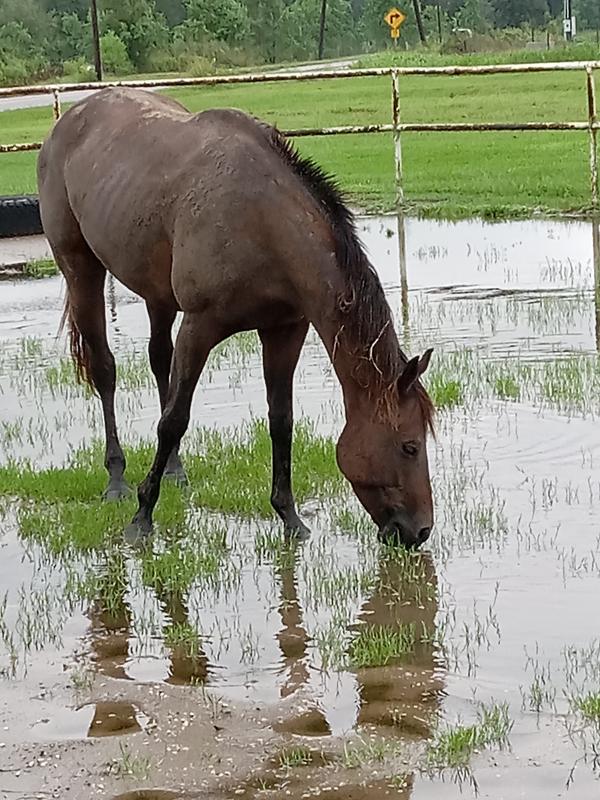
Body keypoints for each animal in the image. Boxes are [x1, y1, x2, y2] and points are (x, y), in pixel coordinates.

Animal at [38, 87, 434, 548]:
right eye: (409, 446)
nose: (421, 530)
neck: (261, 220)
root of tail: (66, 123)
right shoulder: (199, 326)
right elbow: (174, 420)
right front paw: (141, 517)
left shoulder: (284, 329)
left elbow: (281, 421)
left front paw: (289, 516)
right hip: (80, 269)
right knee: (105, 371)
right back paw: (116, 479)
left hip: (158, 294)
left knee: (159, 361)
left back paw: (174, 469)